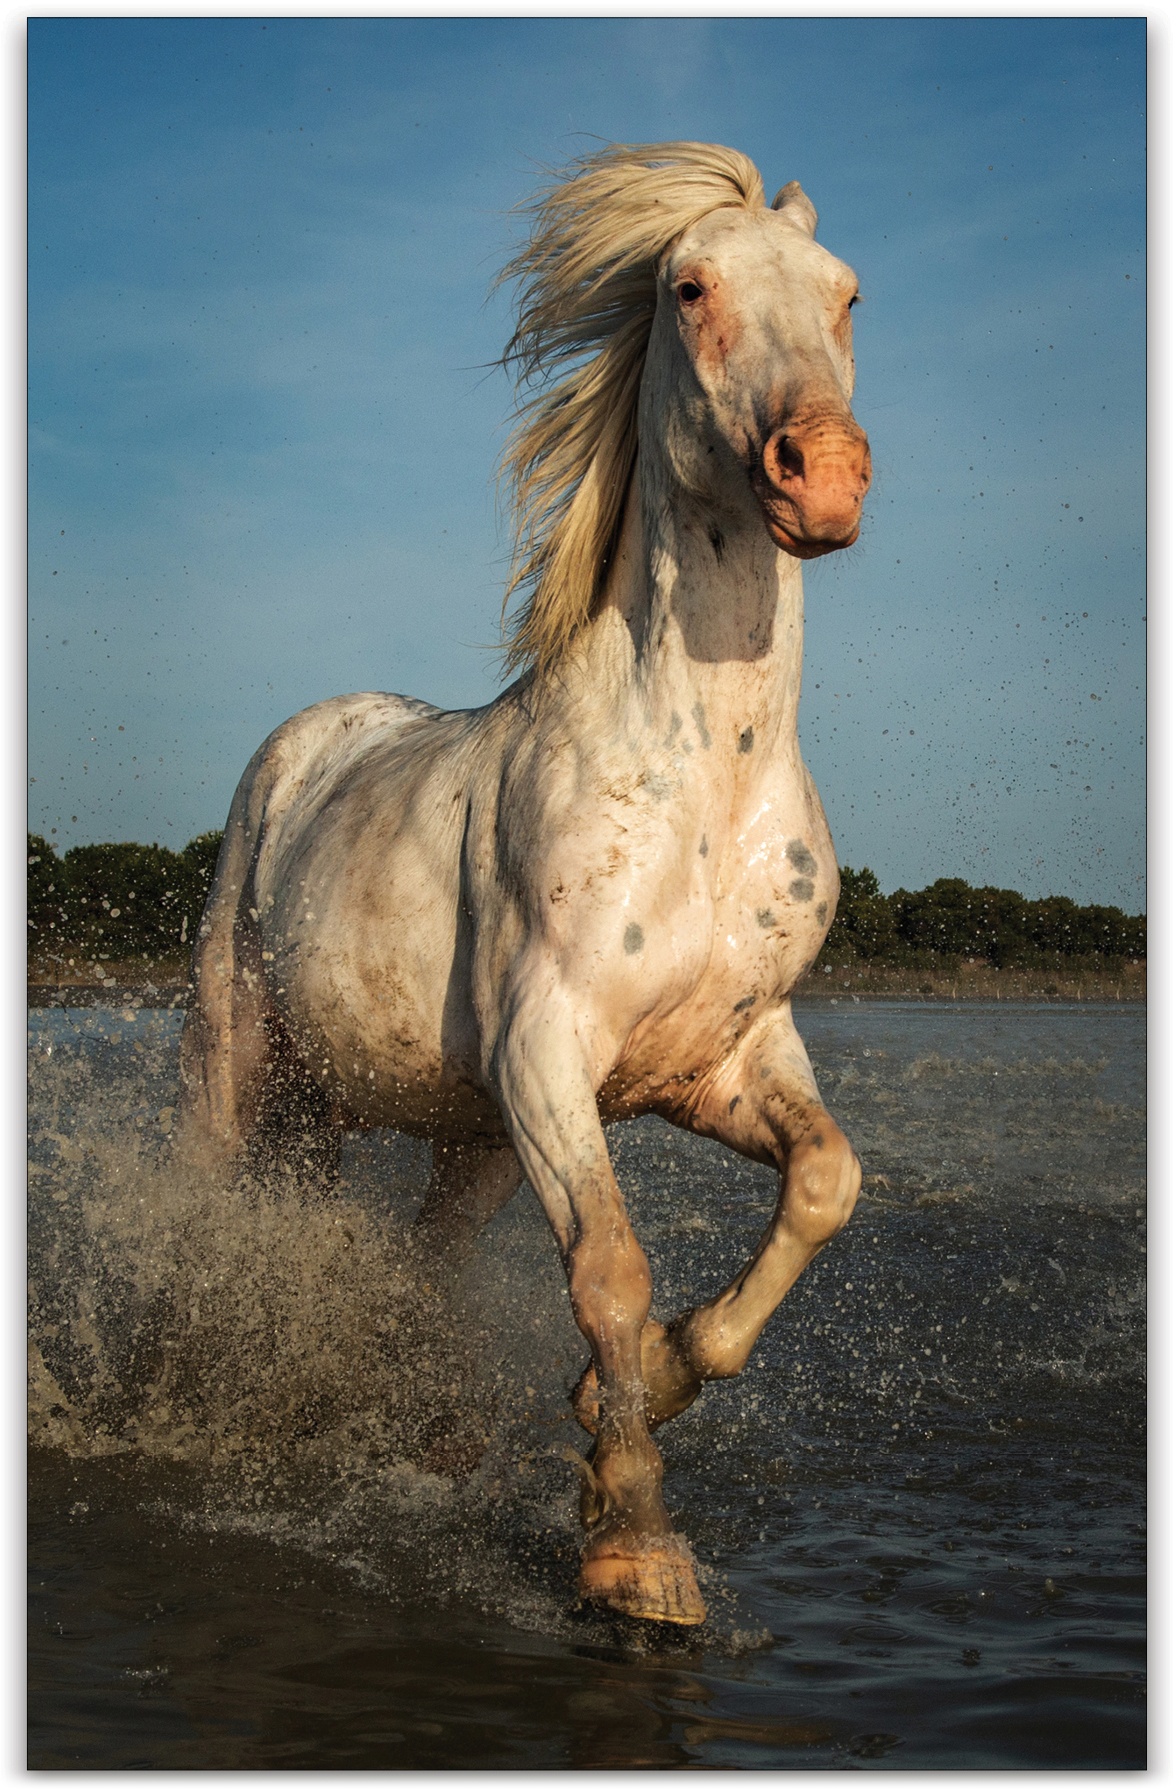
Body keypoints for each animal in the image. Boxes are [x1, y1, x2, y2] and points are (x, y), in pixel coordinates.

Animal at [177, 142, 870, 1627]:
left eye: (847, 292)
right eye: (690, 286)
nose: (826, 475)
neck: (703, 787)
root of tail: (307, 744)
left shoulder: (723, 1059)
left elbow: (825, 1182)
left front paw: (649, 1383)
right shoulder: (550, 1051)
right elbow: (608, 1267)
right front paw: (635, 1552)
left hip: (465, 1139)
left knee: (418, 1264)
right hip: (245, 1066)